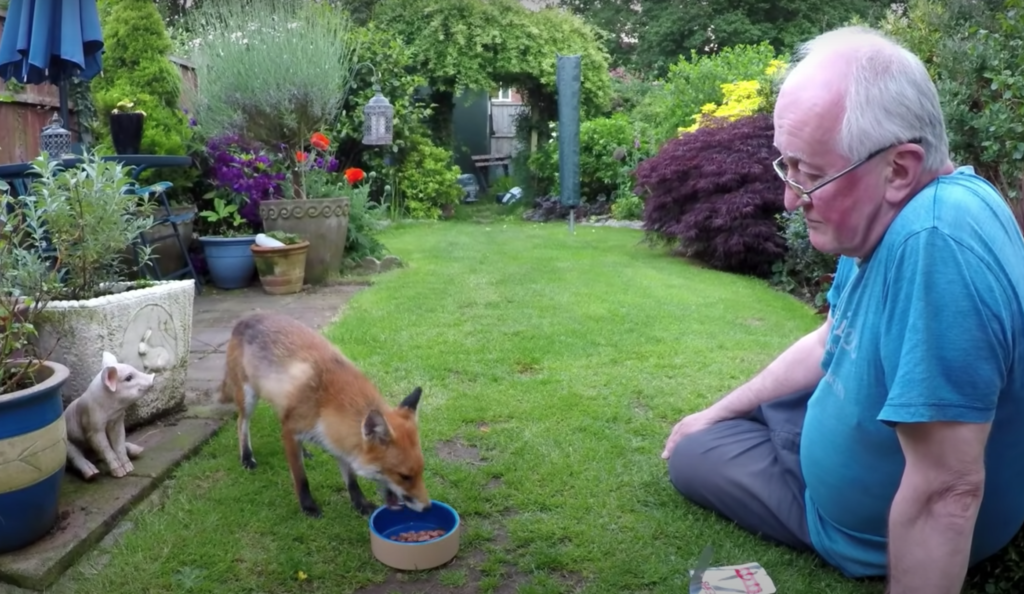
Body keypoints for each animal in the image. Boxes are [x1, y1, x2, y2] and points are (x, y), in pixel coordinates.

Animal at [217, 312, 431, 518]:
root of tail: (246, 318)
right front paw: (308, 507)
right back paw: (247, 457)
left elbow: (351, 480)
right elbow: (301, 478)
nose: (428, 507)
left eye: (422, 471)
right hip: (249, 397)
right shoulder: (293, 431)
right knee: (241, 422)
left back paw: (304, 451)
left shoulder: (338, 440)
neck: (326, 403)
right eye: (404, 476)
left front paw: (360, 504)